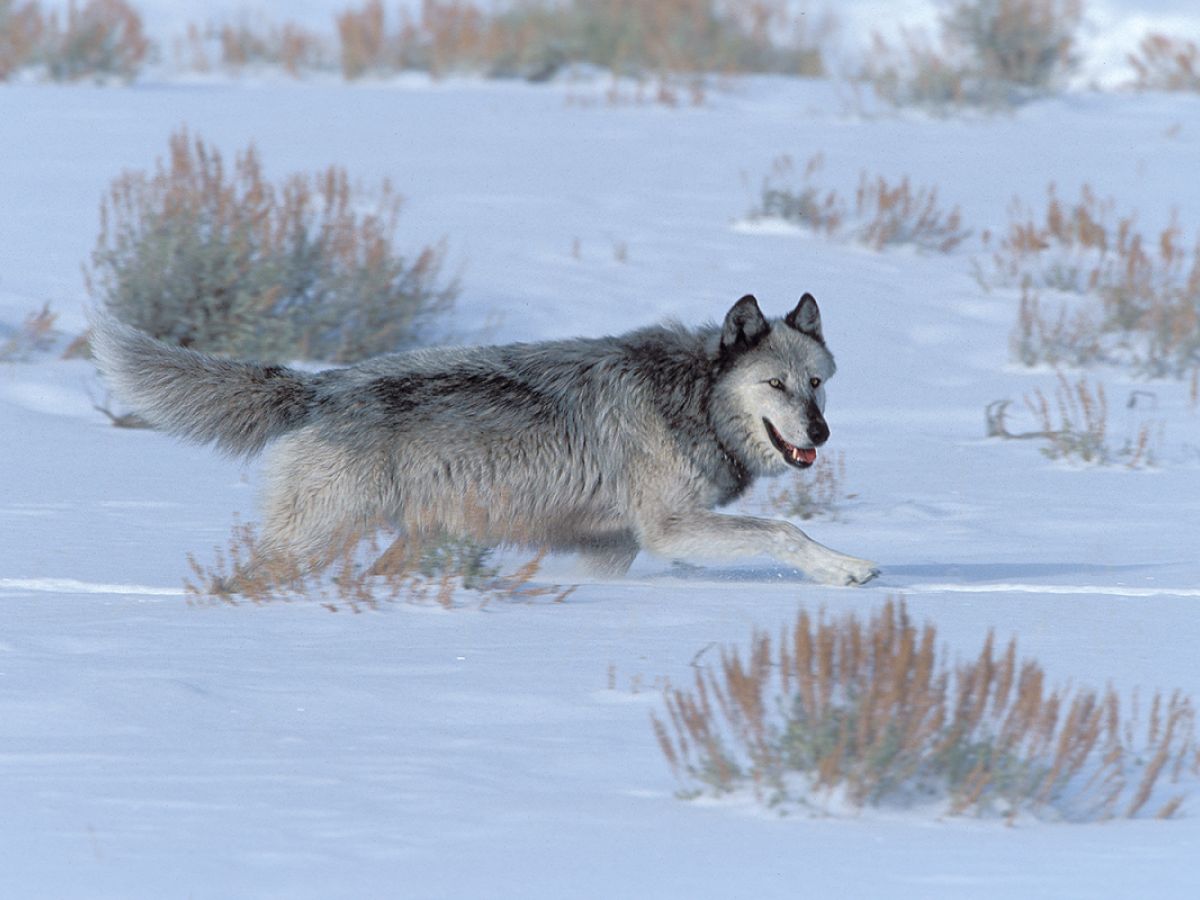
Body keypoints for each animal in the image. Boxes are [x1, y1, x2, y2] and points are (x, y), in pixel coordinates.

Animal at [90, 293, 878, 586]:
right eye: (774, 385)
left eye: (816, 383)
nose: (820, 431)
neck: (692, 398)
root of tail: (320, 386)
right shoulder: (669, 529)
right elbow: (783, 532)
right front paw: (846, 569)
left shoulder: (611, 549)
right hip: (321, 537)